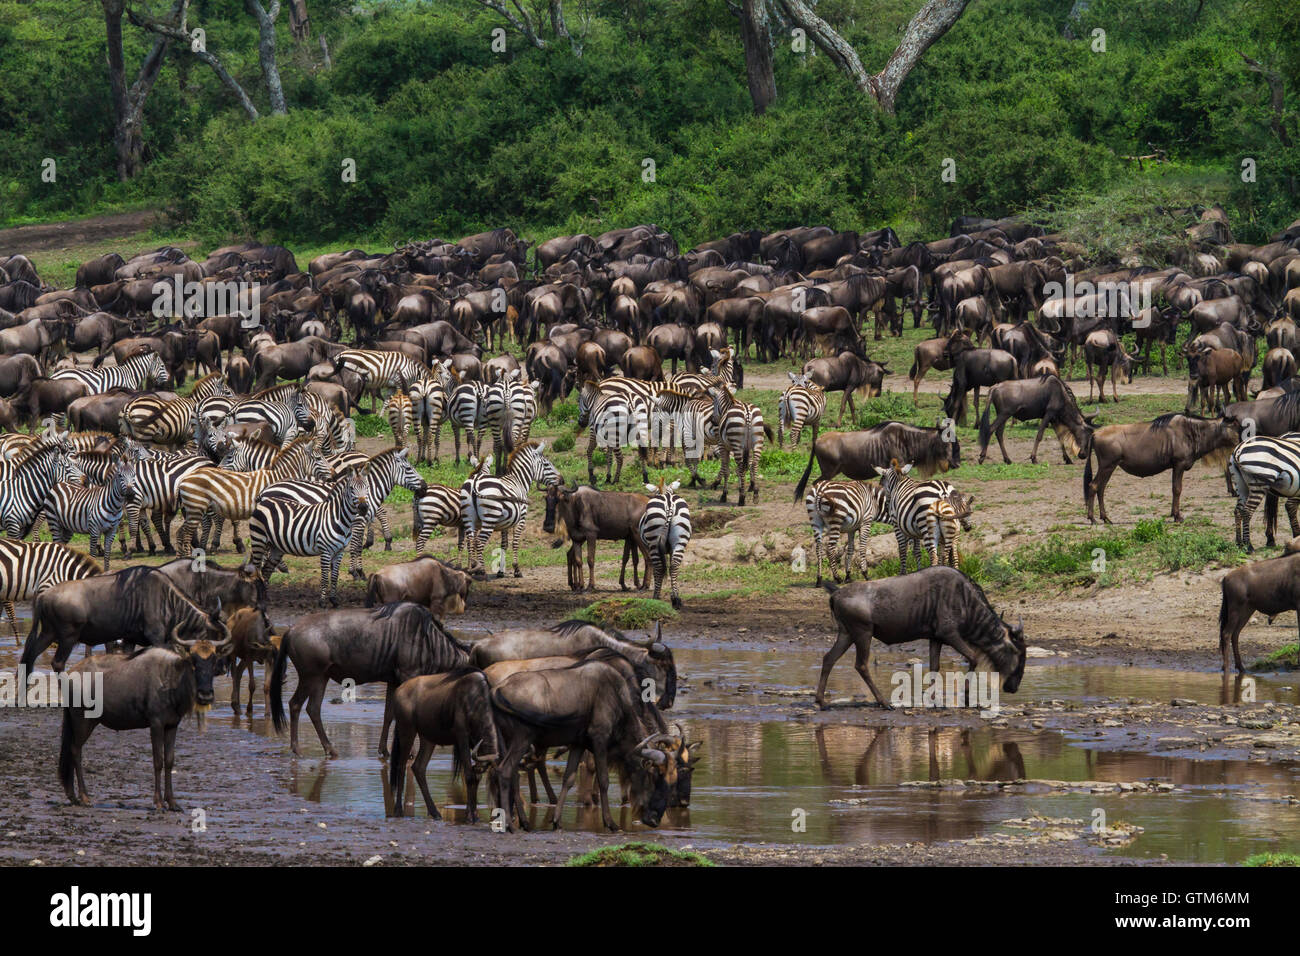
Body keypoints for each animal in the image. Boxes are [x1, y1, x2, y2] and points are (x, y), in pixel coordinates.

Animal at [175, 434, 329, 556]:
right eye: (318, 458)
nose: (332, 472)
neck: (278, 476)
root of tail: (184, 479)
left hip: (194, 509)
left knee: (183, 531)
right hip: (196, 507)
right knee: (189, 532)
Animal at [247, 469, 370, 606]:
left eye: (367, 487)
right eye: (352, 488)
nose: (364, 508)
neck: (337, 518)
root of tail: (263, 500)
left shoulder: (339, 551)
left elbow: (334, 576)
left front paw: (334, 600)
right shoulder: (325, 550)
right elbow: (324, 576)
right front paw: (322, 602)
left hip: (276, 547)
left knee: (266, 570)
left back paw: (266, 598)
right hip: (258, 540)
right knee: (257, 569)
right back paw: (257, 599)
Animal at [459, 440, 560, 577]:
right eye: (546, 464)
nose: (562, 479)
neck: (519, 481)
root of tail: (475, 480)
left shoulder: (505, 522)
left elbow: (504, 543)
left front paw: (501, 571)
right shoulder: (521, 518)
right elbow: (515, 543)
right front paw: (517, 569)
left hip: (469, 518)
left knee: (470, 542)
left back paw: (471, 571)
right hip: (490, 518)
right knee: (479, 542)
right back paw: (482, 572)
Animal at [638, 478, 692, 608]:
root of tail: (668, 501)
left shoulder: (649, 547)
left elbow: (657, 569)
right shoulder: (670, 548)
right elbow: (670, 564)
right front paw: (673, 596)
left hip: (653, 541)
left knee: (659, 567)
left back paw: (656, 597)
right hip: (680, 540)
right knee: (674, 566)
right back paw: (676, 599)